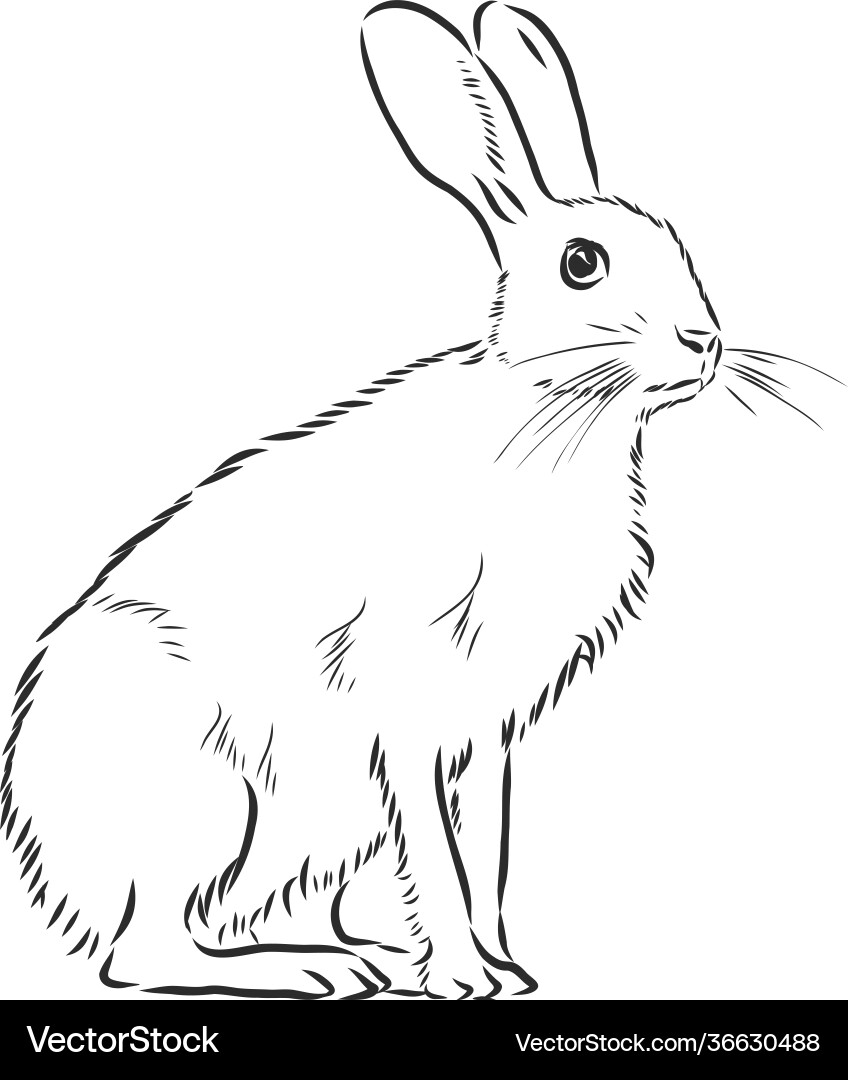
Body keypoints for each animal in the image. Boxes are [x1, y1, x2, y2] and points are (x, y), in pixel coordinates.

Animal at [4, 1, 825, 1000]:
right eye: (581, 264)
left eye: (681, 246)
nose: (704, 342)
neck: (556, 411)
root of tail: (48, 854)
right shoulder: (408, 708)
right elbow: (438, 857)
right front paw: (468, 978)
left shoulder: (491, 735)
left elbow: (486, 855)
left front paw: (505, 970)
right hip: (204, 797)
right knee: (148, 949)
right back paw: (314, 972)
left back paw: (368, 959)